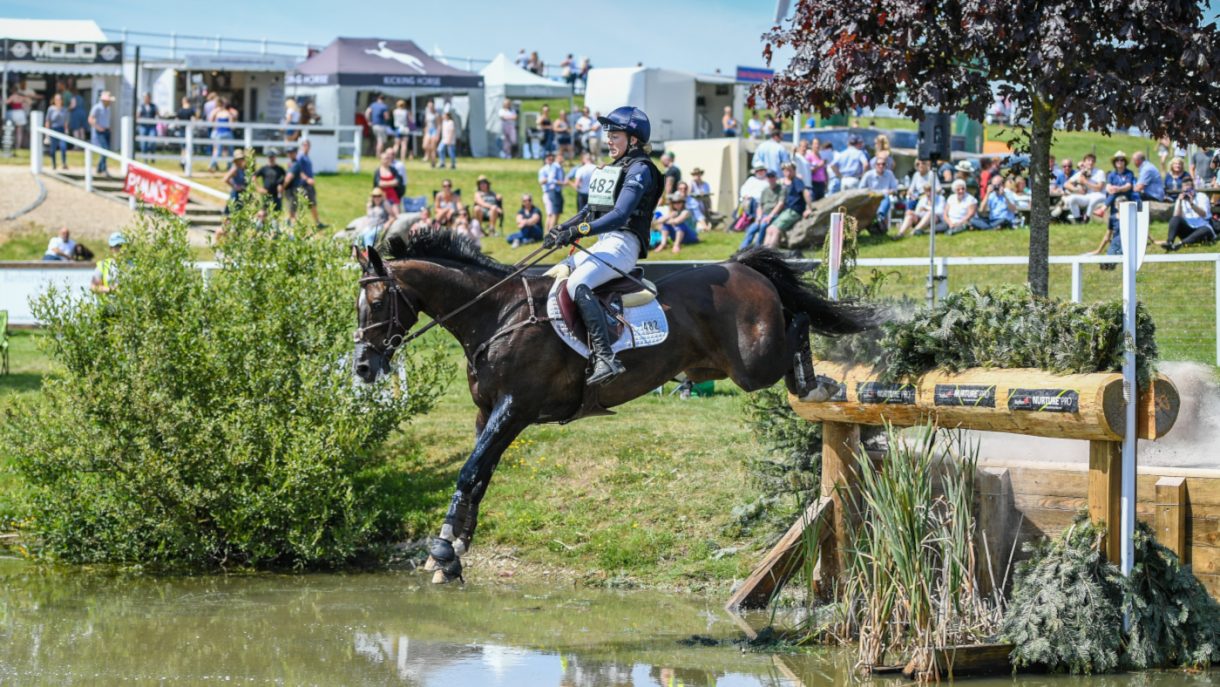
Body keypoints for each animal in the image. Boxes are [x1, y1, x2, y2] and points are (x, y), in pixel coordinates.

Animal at [353, 229, 875, 582]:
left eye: (376, 304)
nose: (363, 367)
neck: (496, 315)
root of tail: (743, 267)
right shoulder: (489, 413)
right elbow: (477, 475)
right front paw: (453, 548)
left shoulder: (515, 408)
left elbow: (468, 471)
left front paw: (444, 550)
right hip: (725, 366)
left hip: (753, 364)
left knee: (801, 319)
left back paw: (816, 384)